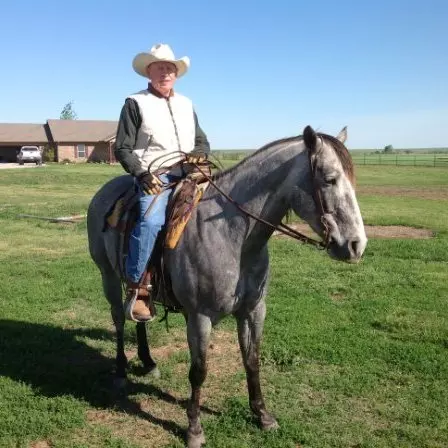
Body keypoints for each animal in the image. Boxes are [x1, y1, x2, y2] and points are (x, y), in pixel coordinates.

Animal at [87, 124, 368, 446]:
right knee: (119, 318)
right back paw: (121, 371)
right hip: (107, 274)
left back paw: (148, 361)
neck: (231, 235)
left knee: (139, 315)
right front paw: (194, 429)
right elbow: (198, 371)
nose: (357, 245)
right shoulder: (199, 317)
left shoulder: (253, 311)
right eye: (329, 179)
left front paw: (262, 415)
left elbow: (252, 360)